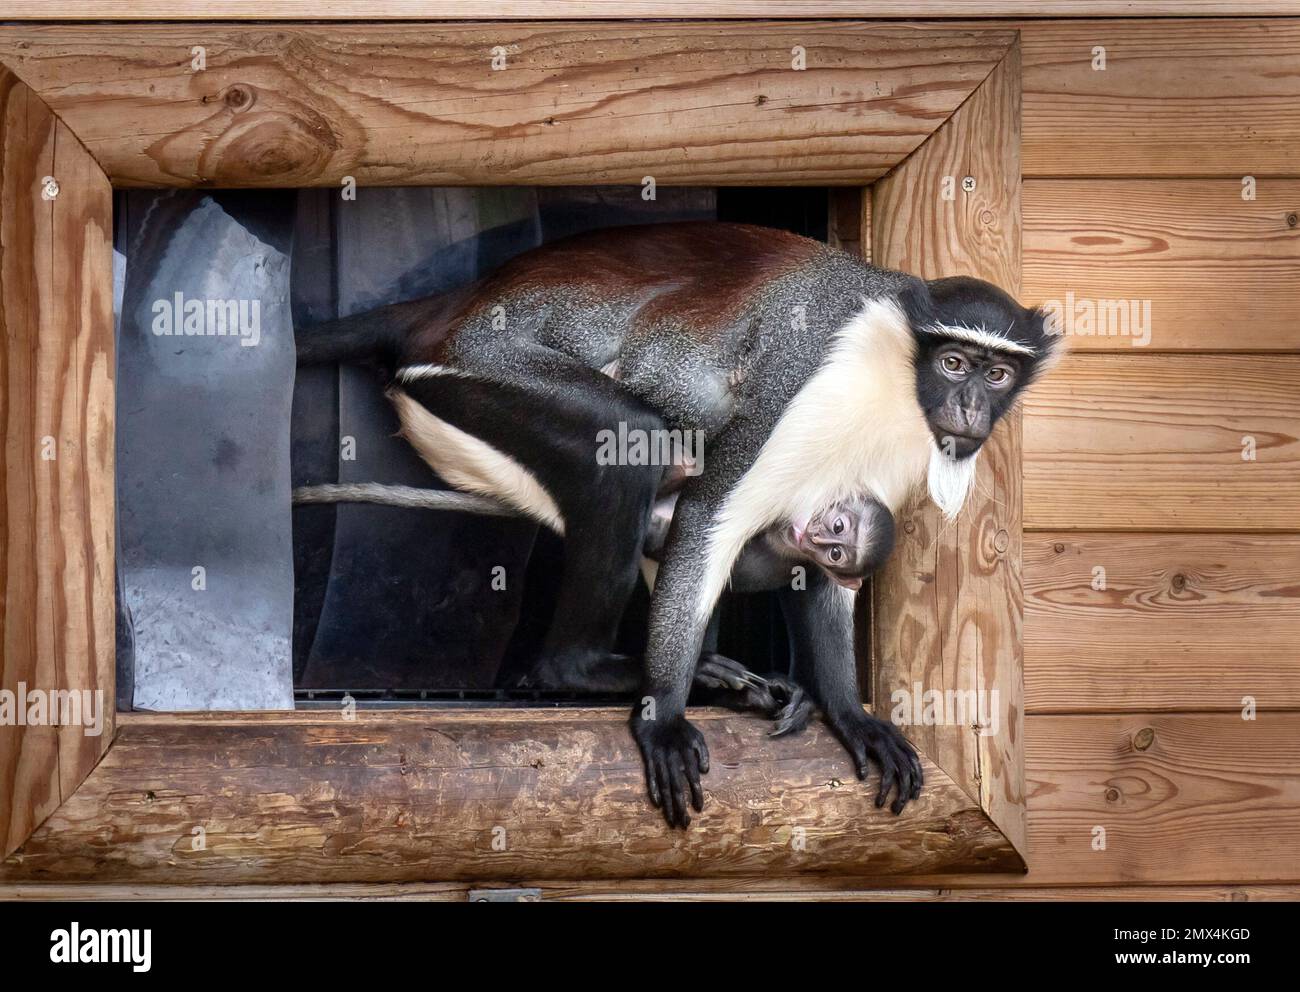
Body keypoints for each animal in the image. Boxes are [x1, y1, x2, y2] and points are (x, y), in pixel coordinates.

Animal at [292, 221, 1060, 826]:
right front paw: (663, 714)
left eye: (996, 374)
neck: (897, 368)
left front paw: (850, 713)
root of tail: (450, 305)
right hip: (479, 369)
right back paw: (590, 670)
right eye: (953, 363)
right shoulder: (801, 378)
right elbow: (712, 512)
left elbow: (826, 576)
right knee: (627, 439)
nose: (968, 410)